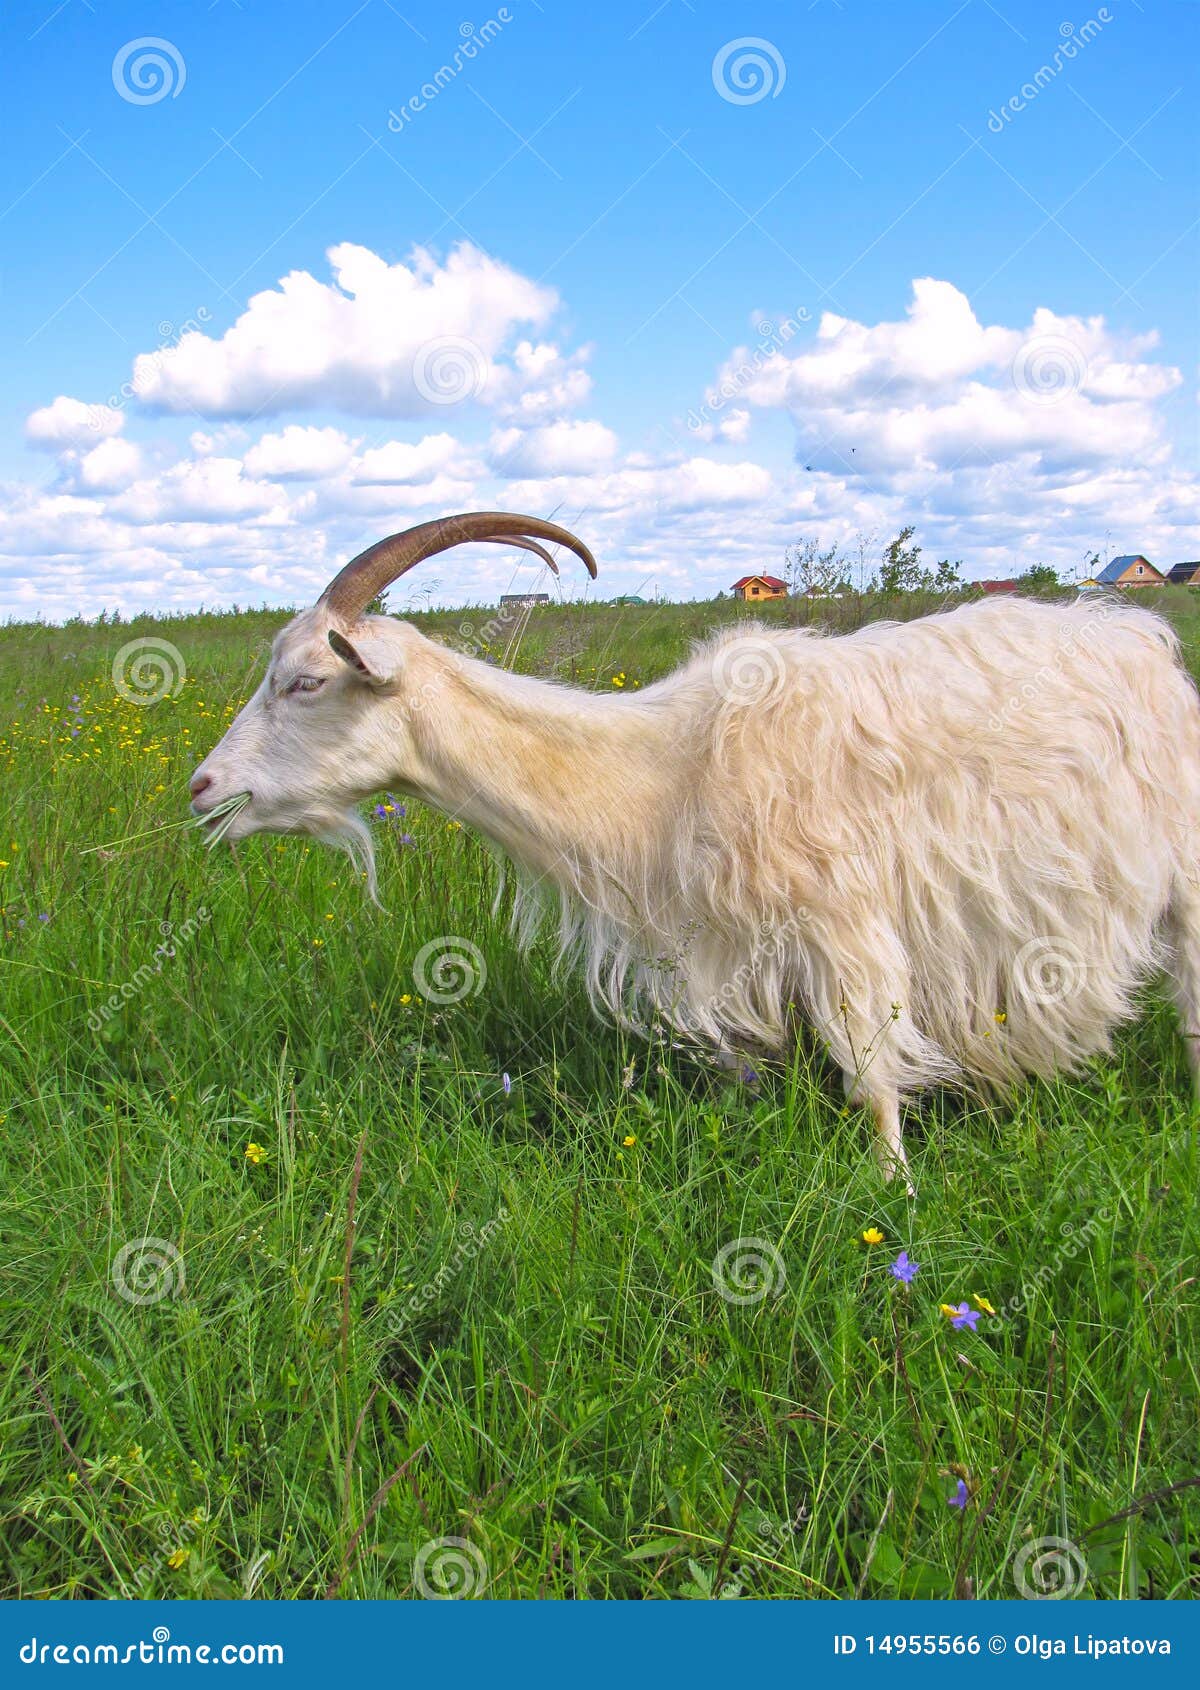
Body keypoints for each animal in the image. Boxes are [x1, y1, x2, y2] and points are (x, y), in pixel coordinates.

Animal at [190, 512, 1200, 1184]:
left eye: (307, 681)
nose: (204, 792)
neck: (665, 767)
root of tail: (1147, 640)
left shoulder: (847, 925)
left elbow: (872, 1074)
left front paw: (893, 1197)